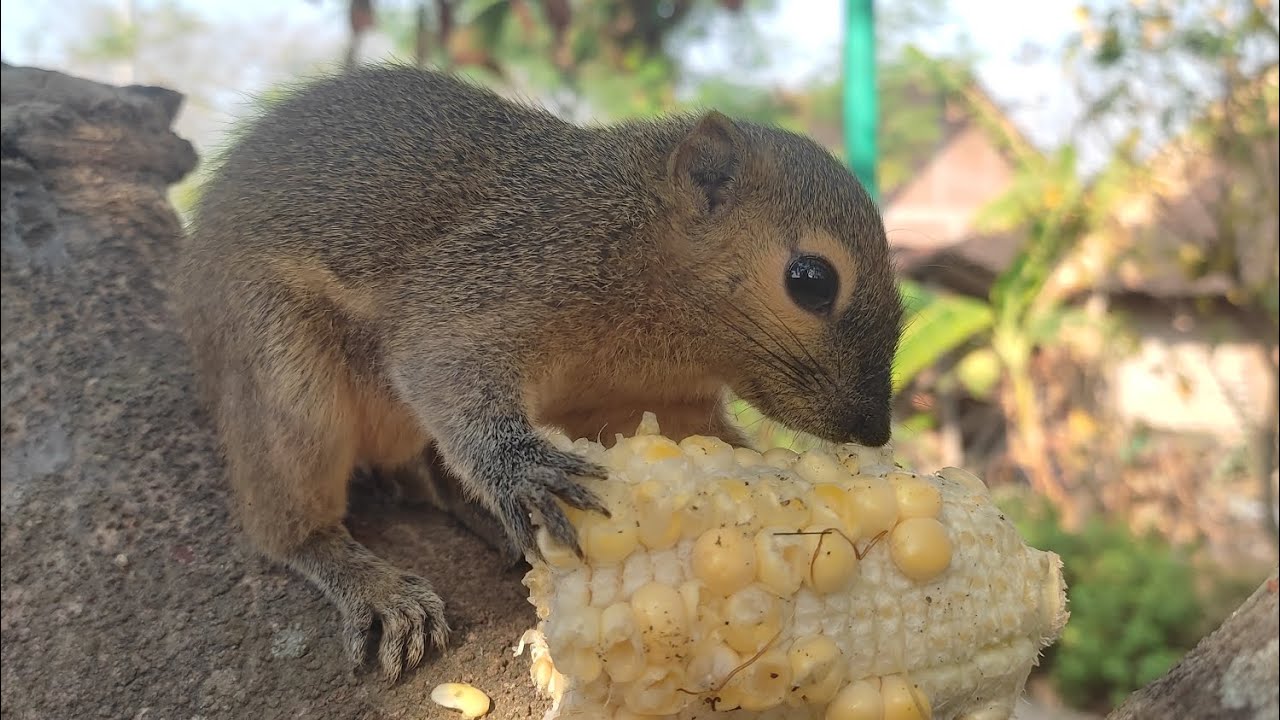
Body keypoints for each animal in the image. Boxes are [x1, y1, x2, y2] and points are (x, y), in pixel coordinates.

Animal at [173, 64, 903, 683]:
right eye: (811, 280)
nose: (875, 430)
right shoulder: (502, 274)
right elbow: (438, 362)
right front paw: (524, 471)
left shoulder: (655, 399)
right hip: (282, 373)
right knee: (289, 520)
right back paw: (370, 581)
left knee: (421, 469)